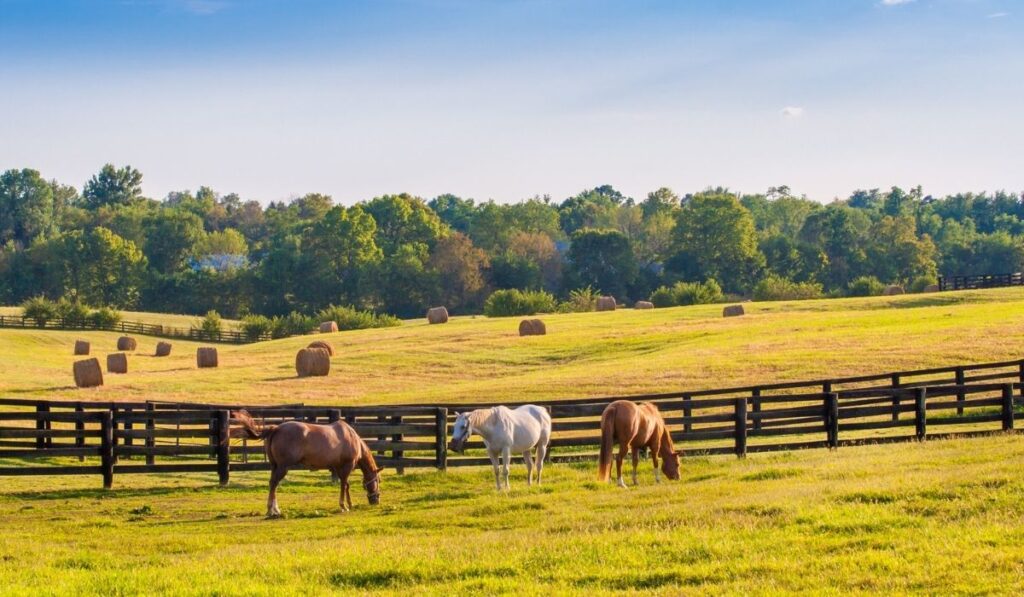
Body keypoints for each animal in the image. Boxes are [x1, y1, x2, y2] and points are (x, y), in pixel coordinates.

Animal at [230, 410, 381, 517]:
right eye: (378, 480)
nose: (375, 501)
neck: (352, 438)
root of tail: (276, 429)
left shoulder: (338, 468)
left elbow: (346, 485)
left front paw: (349, 504)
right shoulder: (346, 467)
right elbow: (344, 485)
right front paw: (344, 506)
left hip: (275, 466)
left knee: (272, 483)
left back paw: (275, 509)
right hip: (283, 468)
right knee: (274, 484)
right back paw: (272, 510)